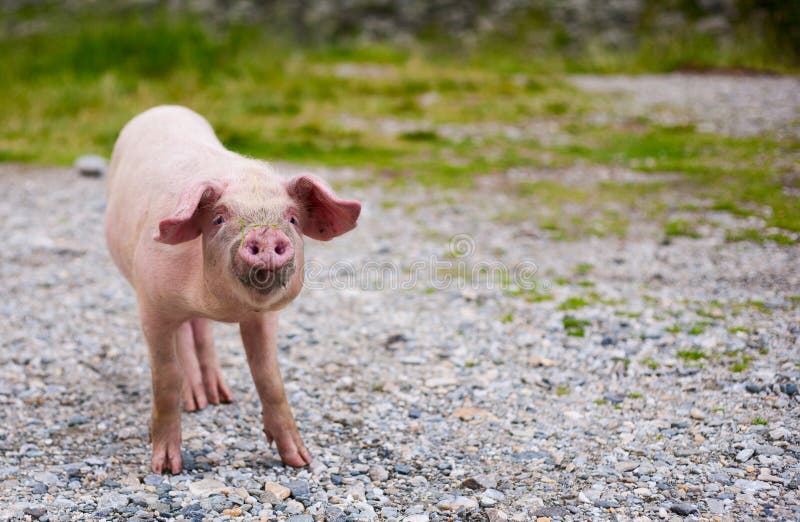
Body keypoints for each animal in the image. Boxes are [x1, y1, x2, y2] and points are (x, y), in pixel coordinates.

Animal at [105, 105, 361, 473]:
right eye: (219, 218)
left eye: (292, 219)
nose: (265, 233)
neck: (222, 308)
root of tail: (164, 107)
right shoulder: (150, 303)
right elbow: (166, 377)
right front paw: (165, 467)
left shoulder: (264, 315)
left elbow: (269, 377)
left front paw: (300, 460)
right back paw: (197, 401)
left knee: (199, 330)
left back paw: (218, 397)